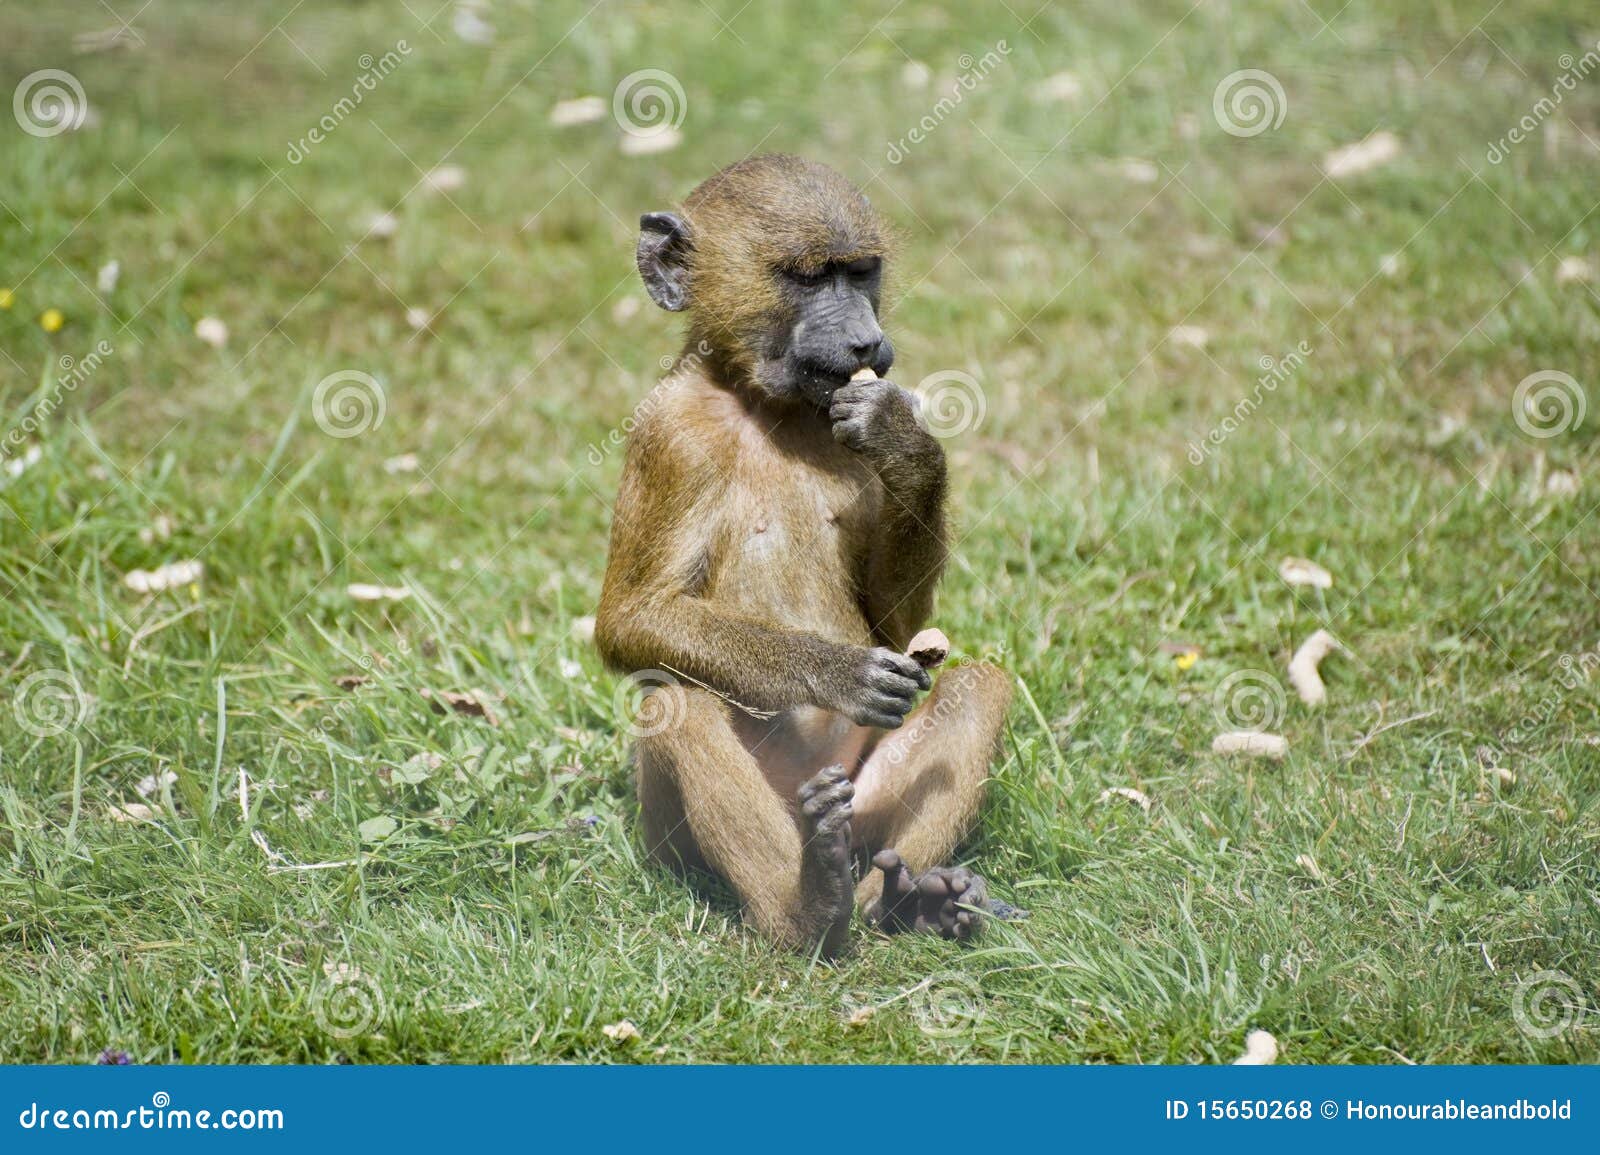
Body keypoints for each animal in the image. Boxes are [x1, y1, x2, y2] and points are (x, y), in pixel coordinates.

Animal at [595, 154, 1013, 957]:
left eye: (860, 272)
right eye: (808, 278)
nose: (865, 342)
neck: (769, 407)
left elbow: (899, 627)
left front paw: (907, 444)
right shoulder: (669, 434)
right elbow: (630, 619)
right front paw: (836, 673)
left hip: (864, 793)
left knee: (979, 685)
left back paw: (905, 901)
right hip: (675, 840)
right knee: (677, 700)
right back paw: (808, 906)